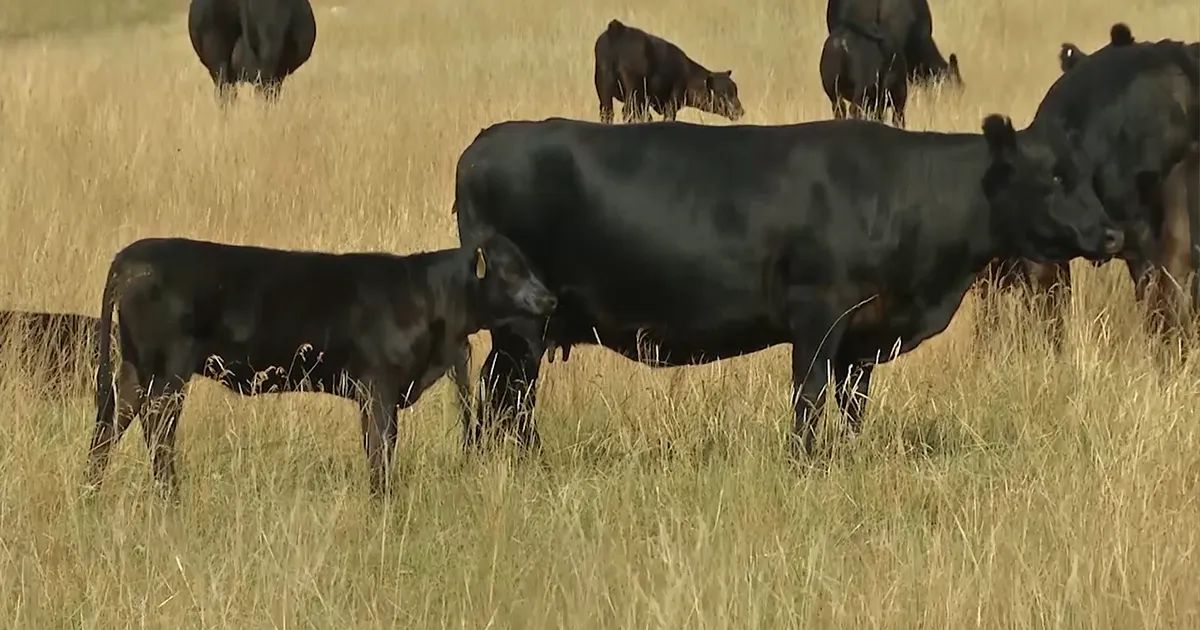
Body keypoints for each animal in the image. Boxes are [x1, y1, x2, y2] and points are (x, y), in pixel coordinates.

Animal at [82, 235, 557, 500]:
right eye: (510, 271)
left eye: (529, 265)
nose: (550, 298)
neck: (429, 295)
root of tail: (130, 257)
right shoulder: (377, 387)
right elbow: (380, 450)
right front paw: (383, 501)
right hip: (169, 369)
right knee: (157, 428)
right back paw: (170, 498)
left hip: (135, 368)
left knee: (112, 421)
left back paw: (93, 491)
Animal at [450, 115, 1122, 458]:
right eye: (1052, 176)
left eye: (1087, 174)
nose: (1112, 232)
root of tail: (484, 141)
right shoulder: (819, 316)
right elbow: (809, 401)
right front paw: (805, 464)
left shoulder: (864, 336)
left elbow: (852, 407)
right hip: (522, 322)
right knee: (507, 395)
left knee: (500, 395)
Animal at [593, 19, 745, 124]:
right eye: (724, 93)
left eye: (735, 90)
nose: (740, 111)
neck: (688, 75)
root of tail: (617, 28)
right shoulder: (670, 105)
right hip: (633, 93)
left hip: (605, 93)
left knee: (607, 114)